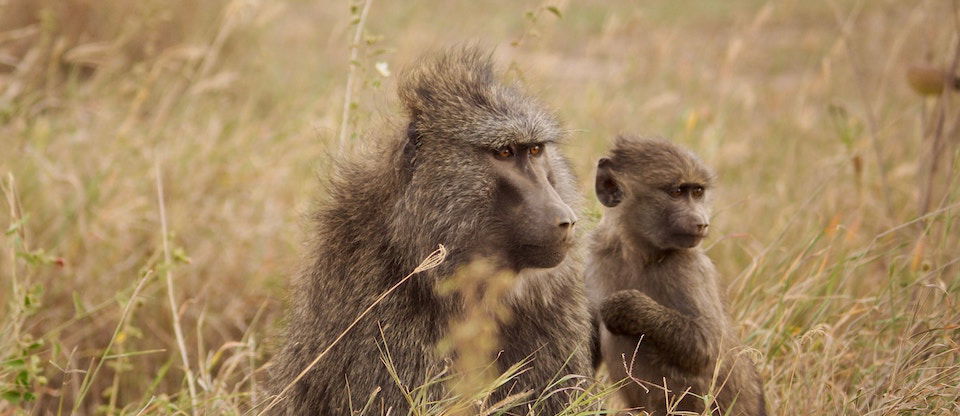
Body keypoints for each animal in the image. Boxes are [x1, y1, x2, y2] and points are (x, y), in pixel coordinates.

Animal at [586, 136, 766, 415]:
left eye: (697, 192)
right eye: (677, 192)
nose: (702, 223)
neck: (636, 252)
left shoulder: (689, 267)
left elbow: (706, 344)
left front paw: (624, 306)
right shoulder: (593, 257)